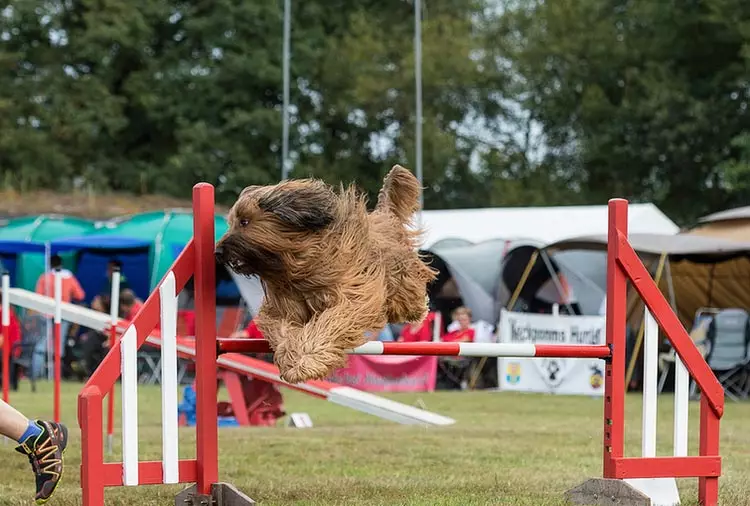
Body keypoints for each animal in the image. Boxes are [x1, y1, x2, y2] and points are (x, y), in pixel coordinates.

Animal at [214, 166, 438, 384]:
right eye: (232, 222)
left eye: (244, 221)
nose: (218, 252)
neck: (299, 264)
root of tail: (385, 215)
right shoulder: (284, 308)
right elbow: (283, 330)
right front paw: (291, 359)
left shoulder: (352, 297)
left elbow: (328, 324)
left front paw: (306, 362)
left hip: (403, 285)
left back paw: (420, 308)